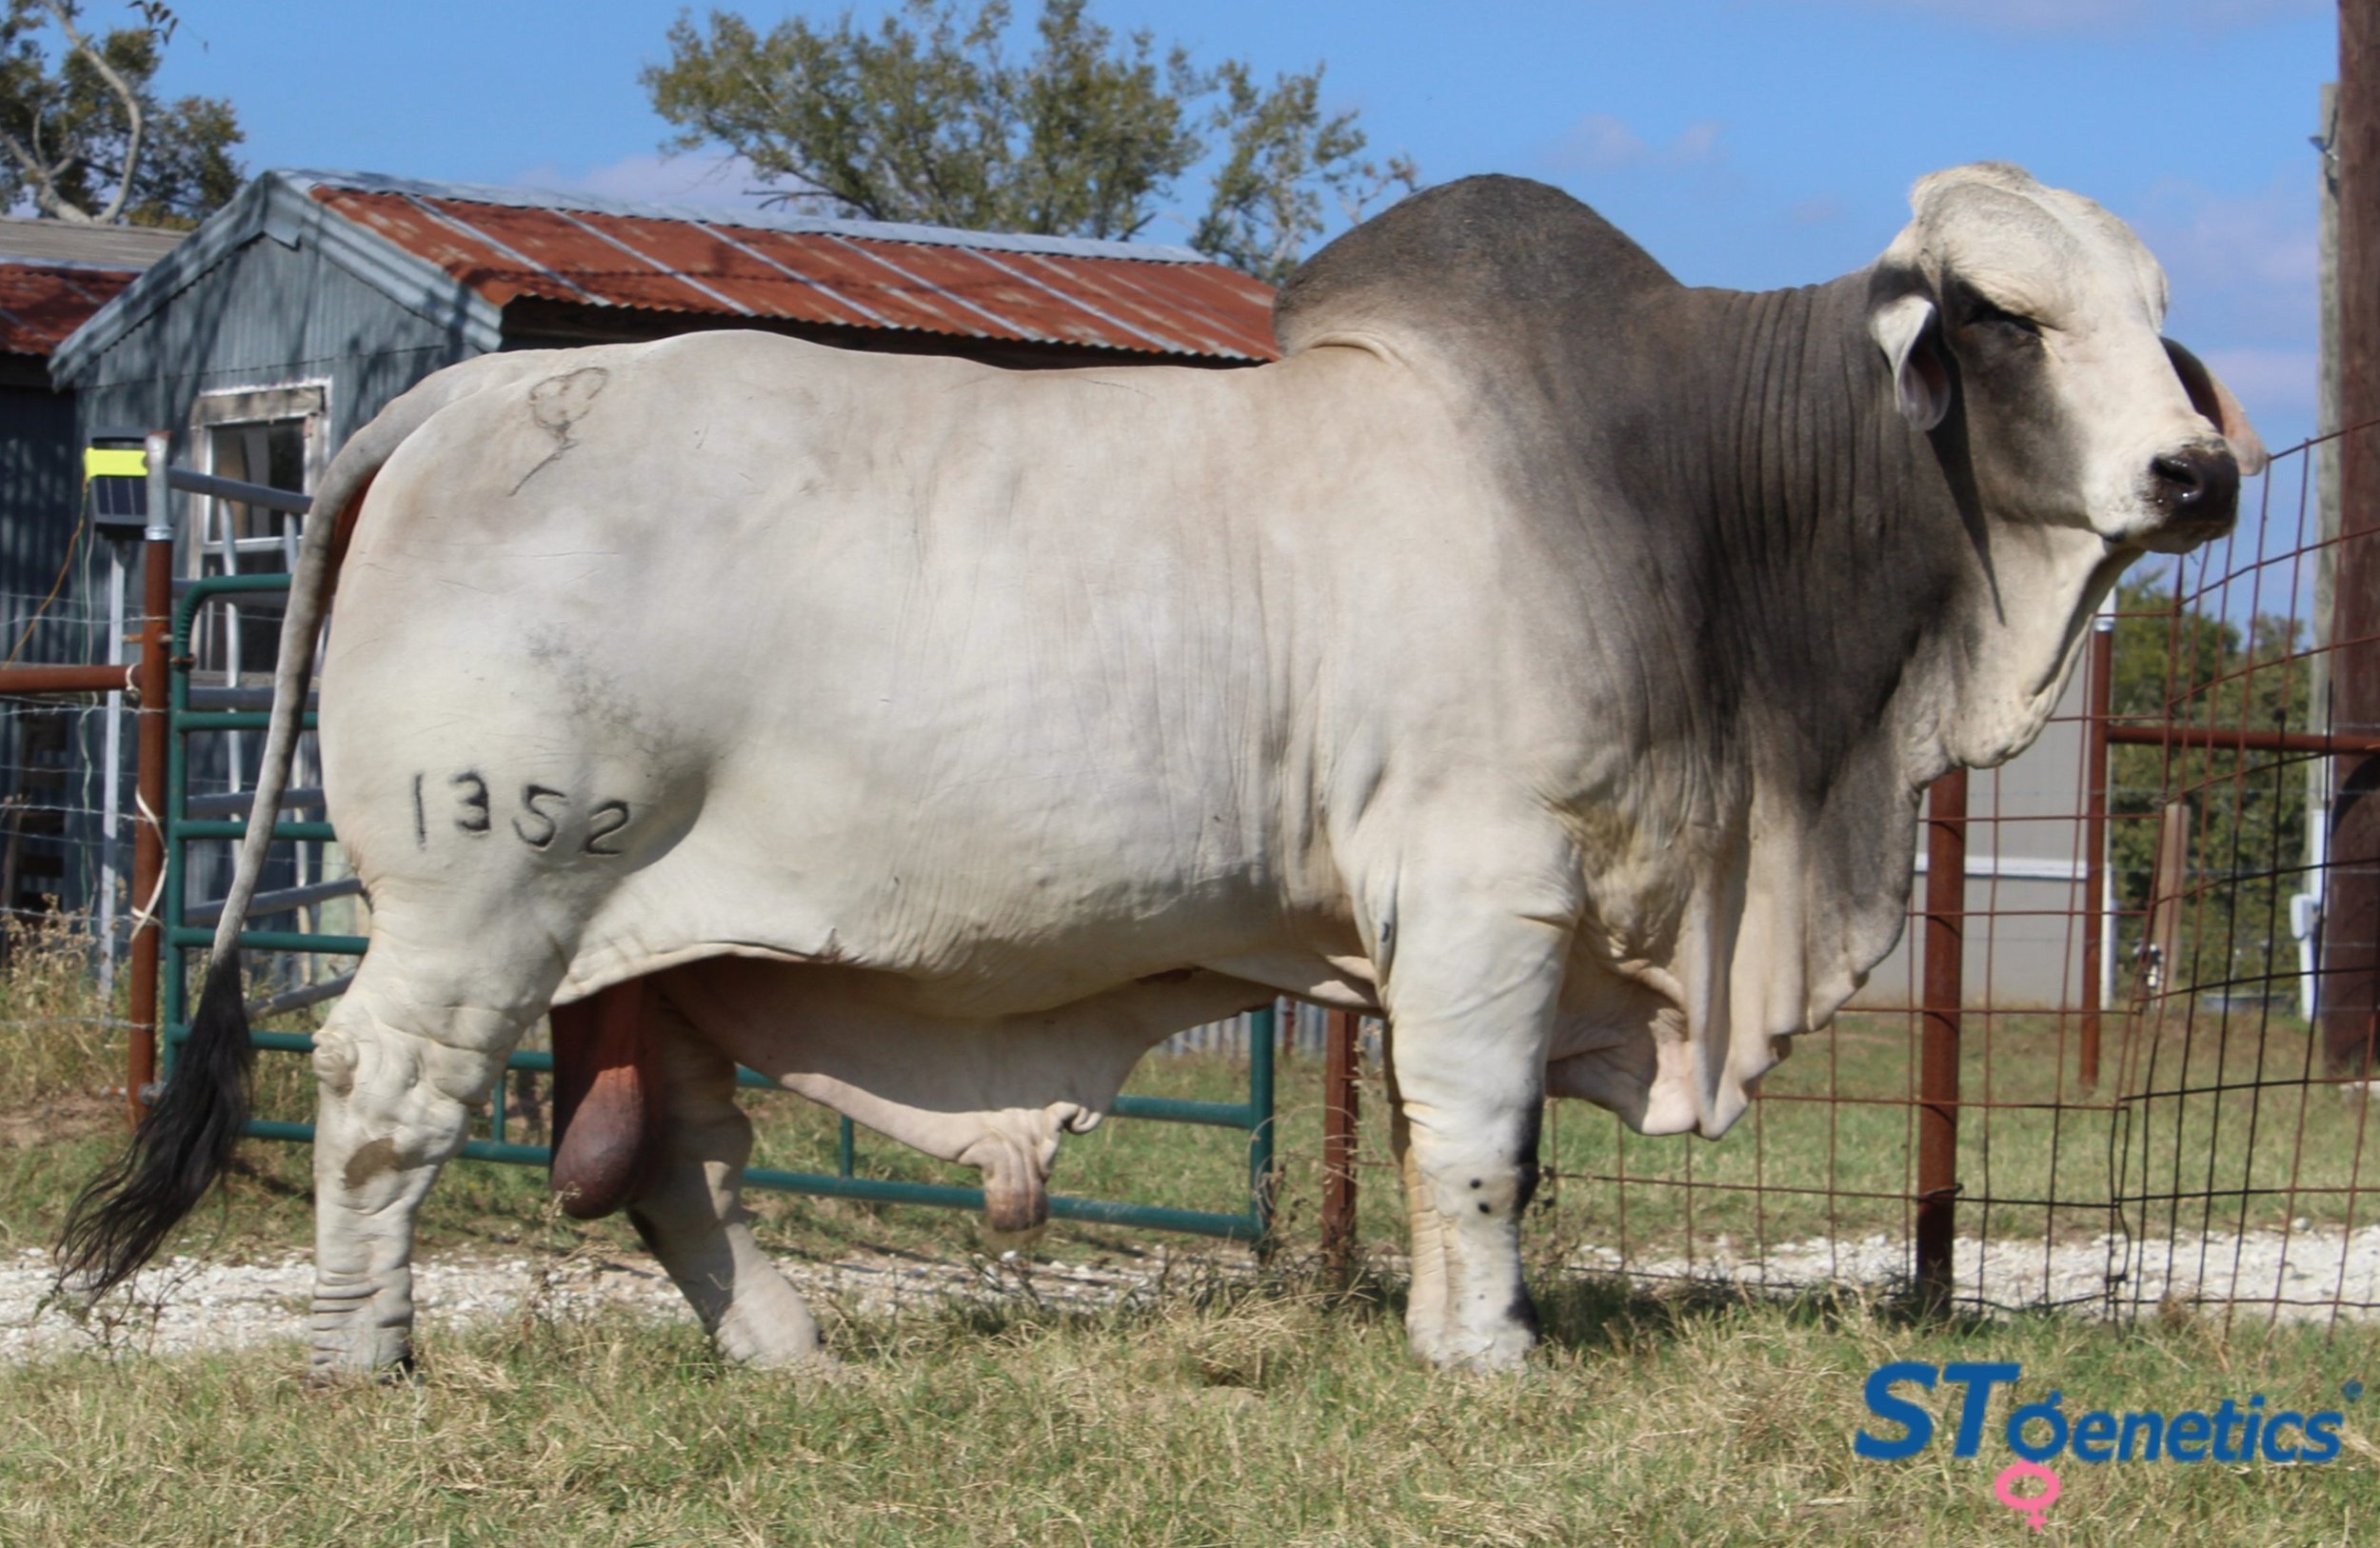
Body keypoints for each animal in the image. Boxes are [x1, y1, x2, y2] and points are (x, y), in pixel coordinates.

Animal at [61, 164, 2259, 1374]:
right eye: (2003, 317)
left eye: (2160, 315)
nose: (2196, 471)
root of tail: (450, 401)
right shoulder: (1488, 890)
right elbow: (1481, 1147)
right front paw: (1491, 1358)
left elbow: (1465, 1147)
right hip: (485, 893)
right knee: (380, 1102)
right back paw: (368, 1361)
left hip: (652, 944)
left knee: (676, 1157)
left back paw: (790, 1357)